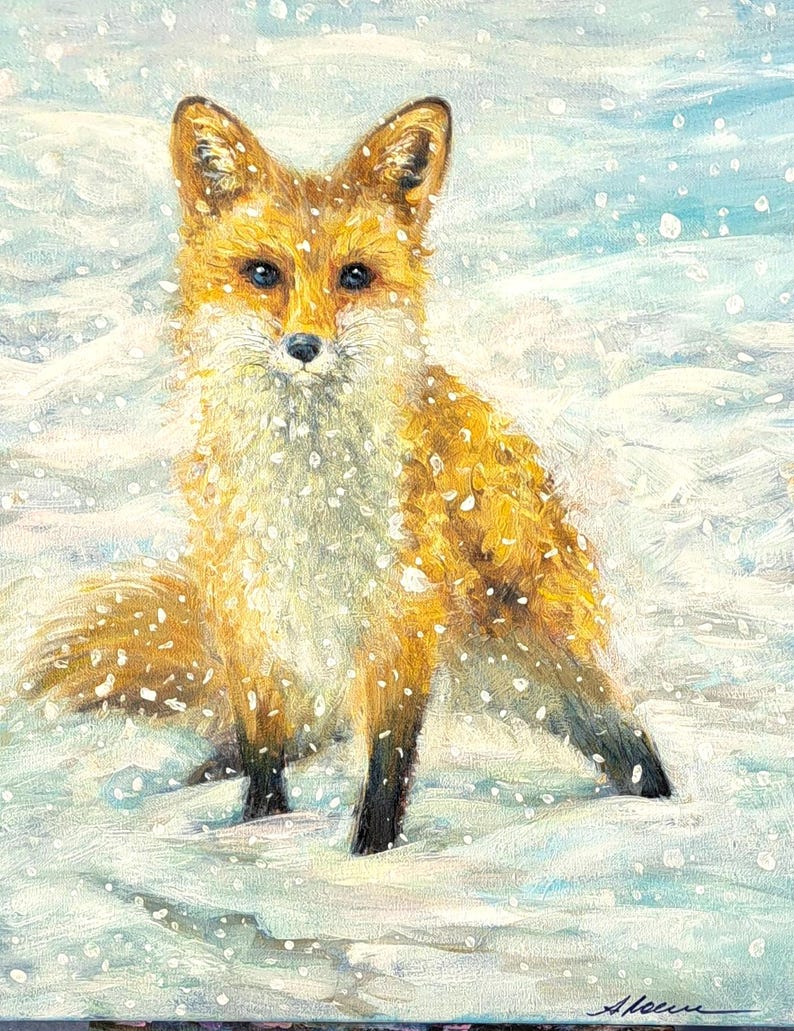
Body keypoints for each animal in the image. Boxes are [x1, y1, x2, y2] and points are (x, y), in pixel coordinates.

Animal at [19, 95, 672, 855]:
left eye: (354, 276)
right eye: (263, 274)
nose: (304, 346)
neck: (309, 486)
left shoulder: (399, 626)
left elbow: (386, 769)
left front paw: (368, 861)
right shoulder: (251, 619)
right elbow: (264, 756)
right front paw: (260, 833)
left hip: (547, 665)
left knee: (631, 746)